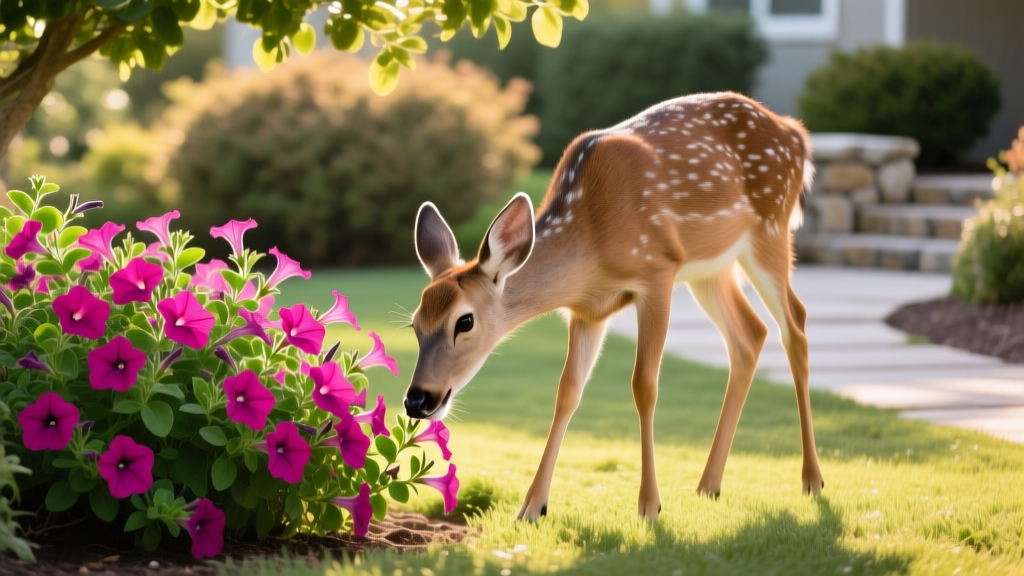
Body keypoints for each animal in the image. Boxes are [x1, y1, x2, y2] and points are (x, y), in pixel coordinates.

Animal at [403, 91, 824, 522]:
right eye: (415, 324)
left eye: (465, 321)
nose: (417, 400)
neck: (592, 241)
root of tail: (796, 133)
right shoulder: (587, 311)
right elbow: (568, 391)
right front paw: (532, 507)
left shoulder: (657, 270)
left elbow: (644, 384)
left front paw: (649, 505)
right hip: (711, 268)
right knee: (751, 334)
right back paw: (709, 485)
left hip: (770, 228)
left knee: (796, 322)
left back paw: (811, 480)